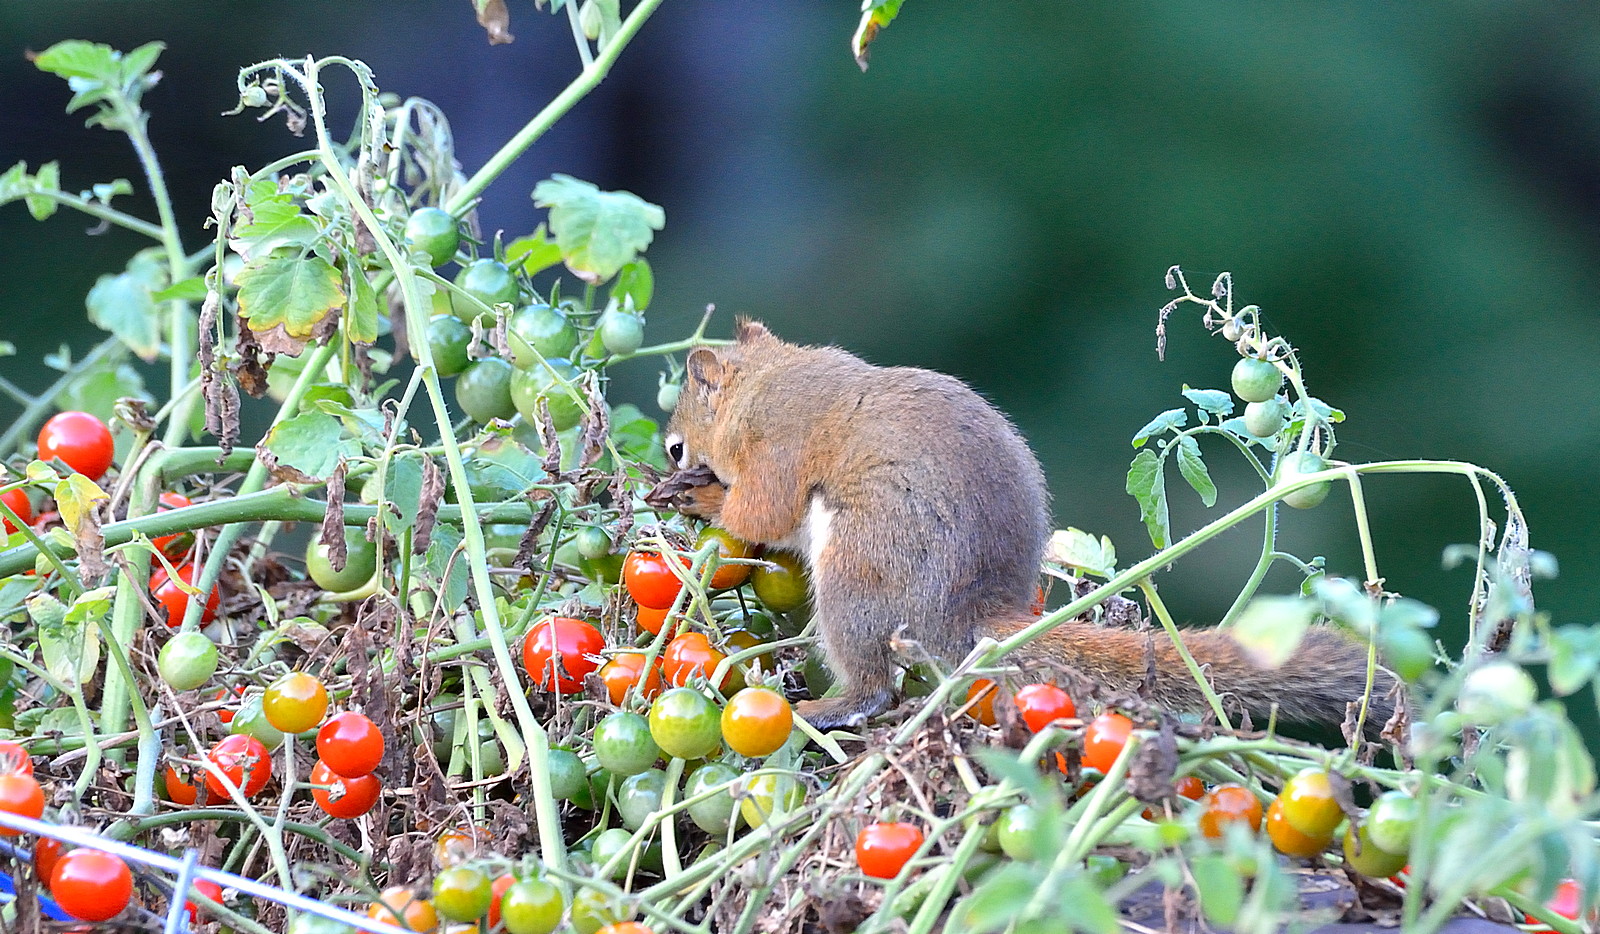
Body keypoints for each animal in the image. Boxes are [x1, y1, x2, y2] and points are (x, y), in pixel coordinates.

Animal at [651, 319, 1396, 733]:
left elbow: (761, 513)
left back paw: (829, 708)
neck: (764, 382)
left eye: (677, 447)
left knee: (874, 685)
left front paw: (701, 501)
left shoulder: (774, 447)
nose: (673, 462)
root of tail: (974, 611)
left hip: (860, 573)